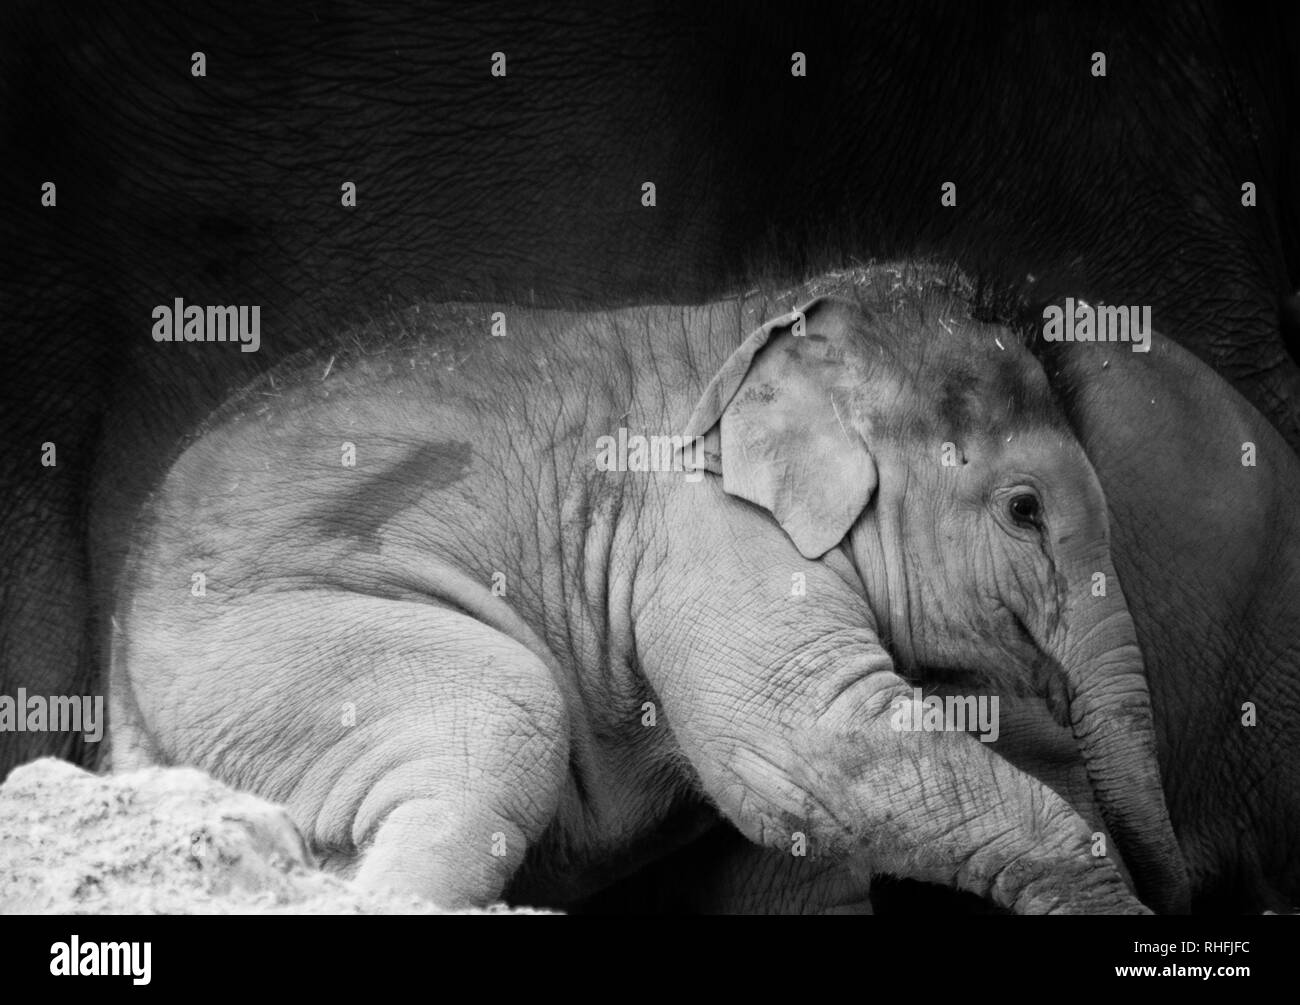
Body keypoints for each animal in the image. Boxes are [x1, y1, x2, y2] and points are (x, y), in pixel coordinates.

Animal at [105, 264, 1189, 914]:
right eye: (1024, 511)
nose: (1183, 899)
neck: (772, 315)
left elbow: (799, 833)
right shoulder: (703, 534)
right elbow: (812, 747)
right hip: (246, 658)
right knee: (501, 715)